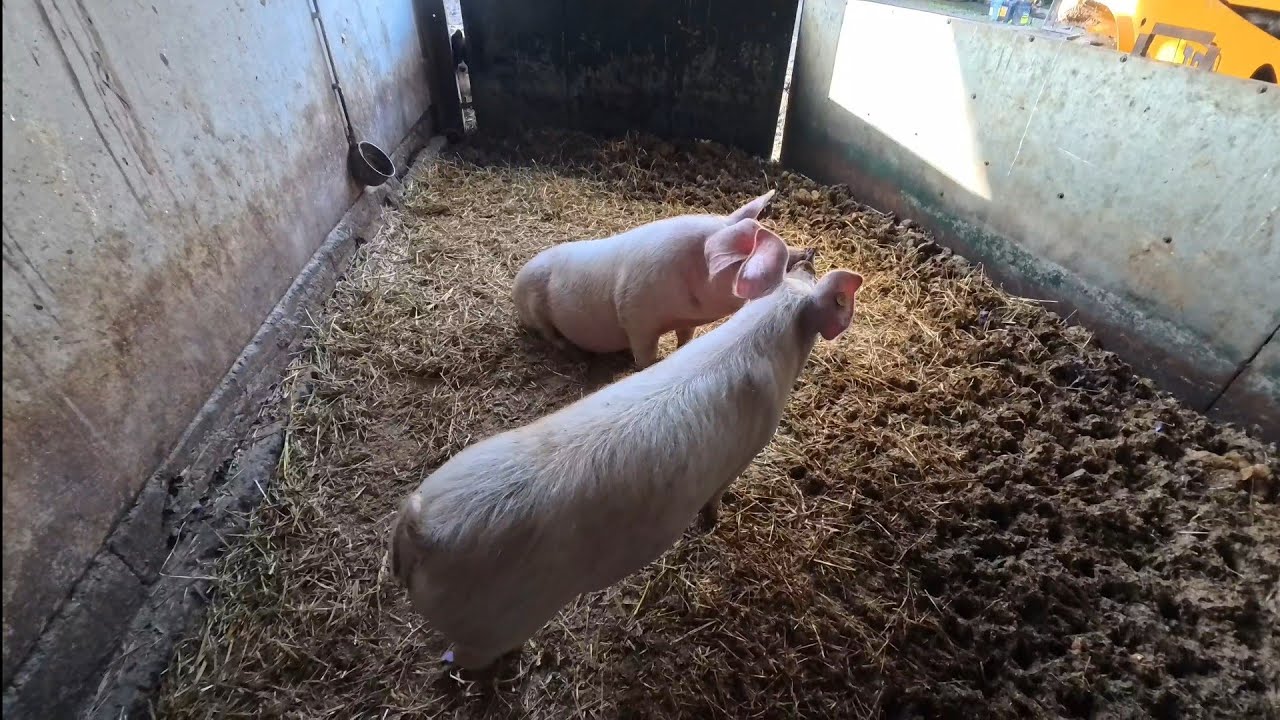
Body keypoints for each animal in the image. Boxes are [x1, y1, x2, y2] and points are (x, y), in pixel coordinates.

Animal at [389, 257, 864, 671]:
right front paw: (714, 523)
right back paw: (513, 661)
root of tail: (420, 528)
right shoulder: (746, 451)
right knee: (468, 658)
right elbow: (716, 497)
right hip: (494, 623)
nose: (809, 258)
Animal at [511, 190, 817, 368]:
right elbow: (645, 355)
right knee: (548, 333)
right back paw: (572, 353)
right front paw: (646, 365)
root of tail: (516, 283)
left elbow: (686, 338)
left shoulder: (686, 321)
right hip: (535, 306)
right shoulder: (636, 319)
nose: (809, 252)